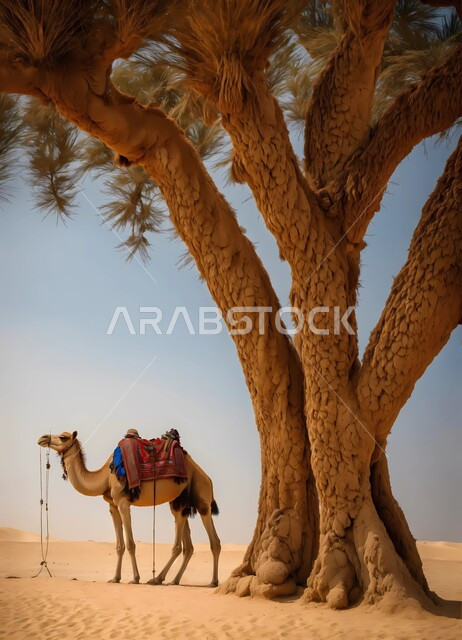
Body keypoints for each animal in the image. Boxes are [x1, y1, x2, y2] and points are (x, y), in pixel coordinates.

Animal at [37, 430, 221, 586]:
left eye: (62, 437)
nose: (42, 438)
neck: (105, 476)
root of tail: (208, 479)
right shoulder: (112, 506)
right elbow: (119, 546)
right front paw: (115, 578)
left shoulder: (123, 503)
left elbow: (131, 544)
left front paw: (135, 578)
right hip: (179, 501)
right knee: (188, 546)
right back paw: (173, 580)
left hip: (200, 500)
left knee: (208, 542)